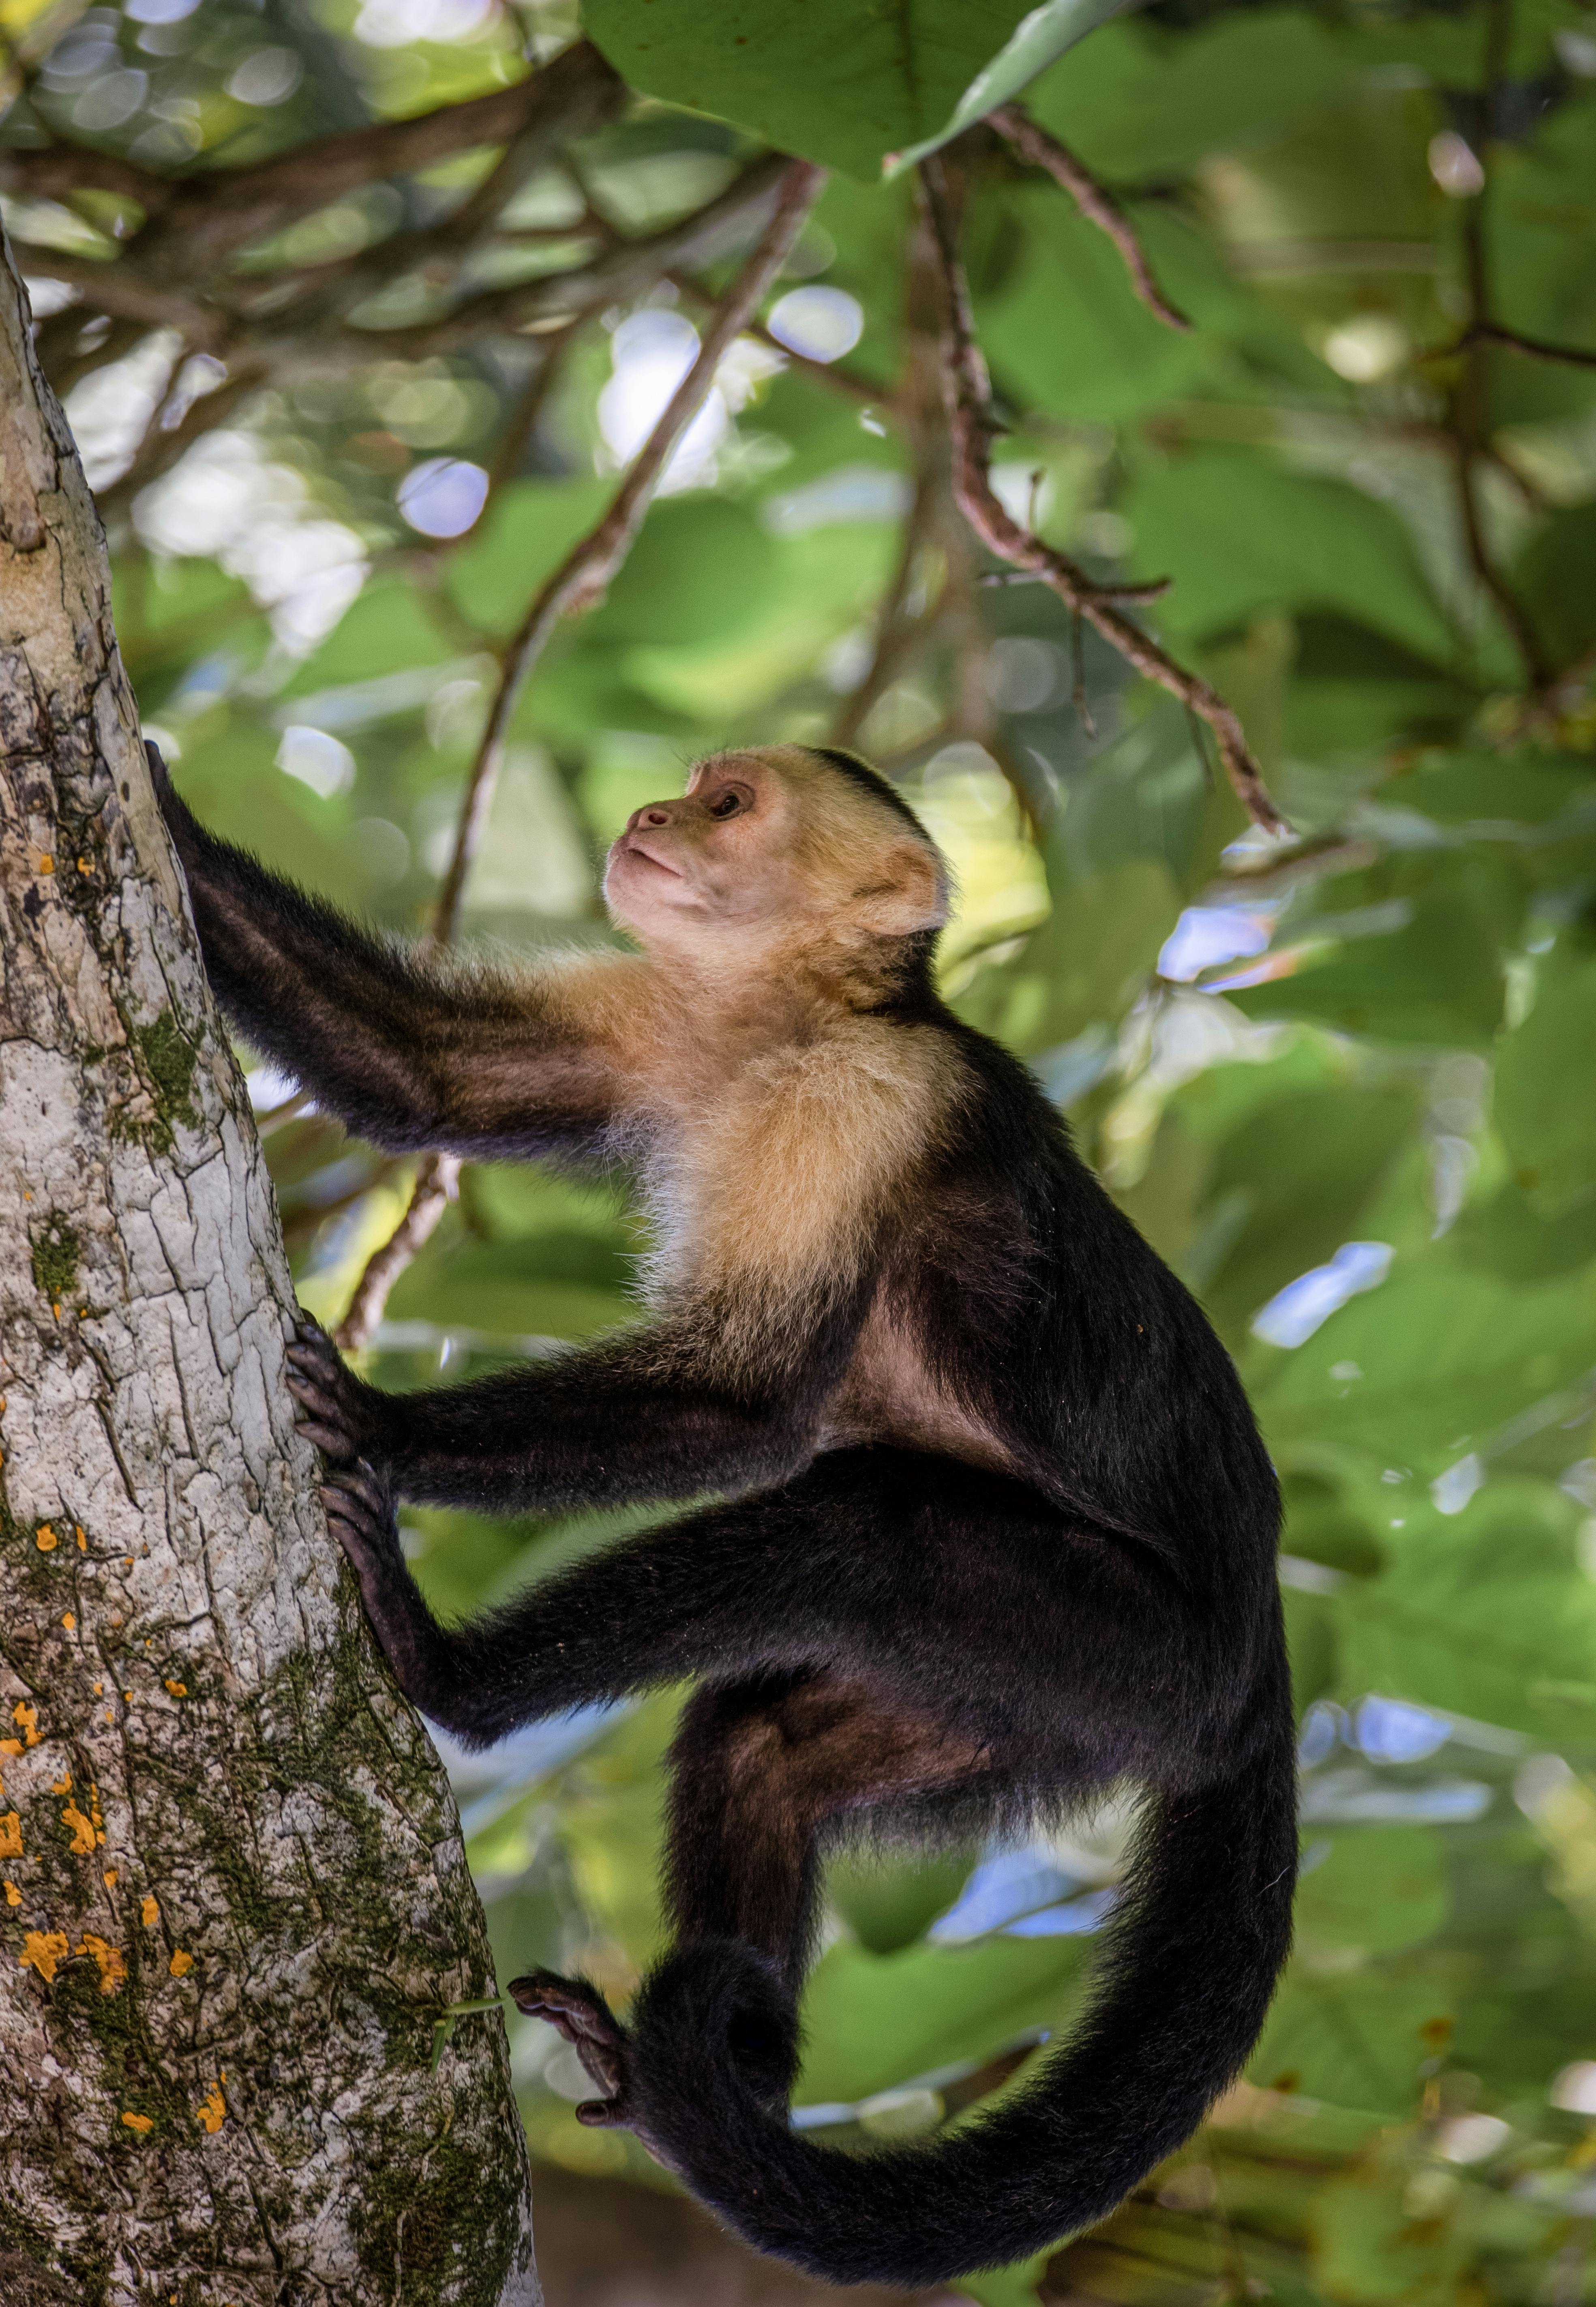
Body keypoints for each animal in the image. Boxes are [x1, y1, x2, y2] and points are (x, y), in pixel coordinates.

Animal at [149, 735, 1296, 2290]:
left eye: (729, 804)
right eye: (693, 787)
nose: (649, 813)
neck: (784, 1025)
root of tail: (1263, 1657)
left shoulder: (868, 1105)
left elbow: (742, 1413)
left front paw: (388, 1429)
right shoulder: (672, 1026)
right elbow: (427, 1071)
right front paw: (155, 803)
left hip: (1137, 1652)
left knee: (859, 1529)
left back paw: (452, 1675)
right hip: (1051, 1714)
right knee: (767, 1739)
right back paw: (694, 2077)